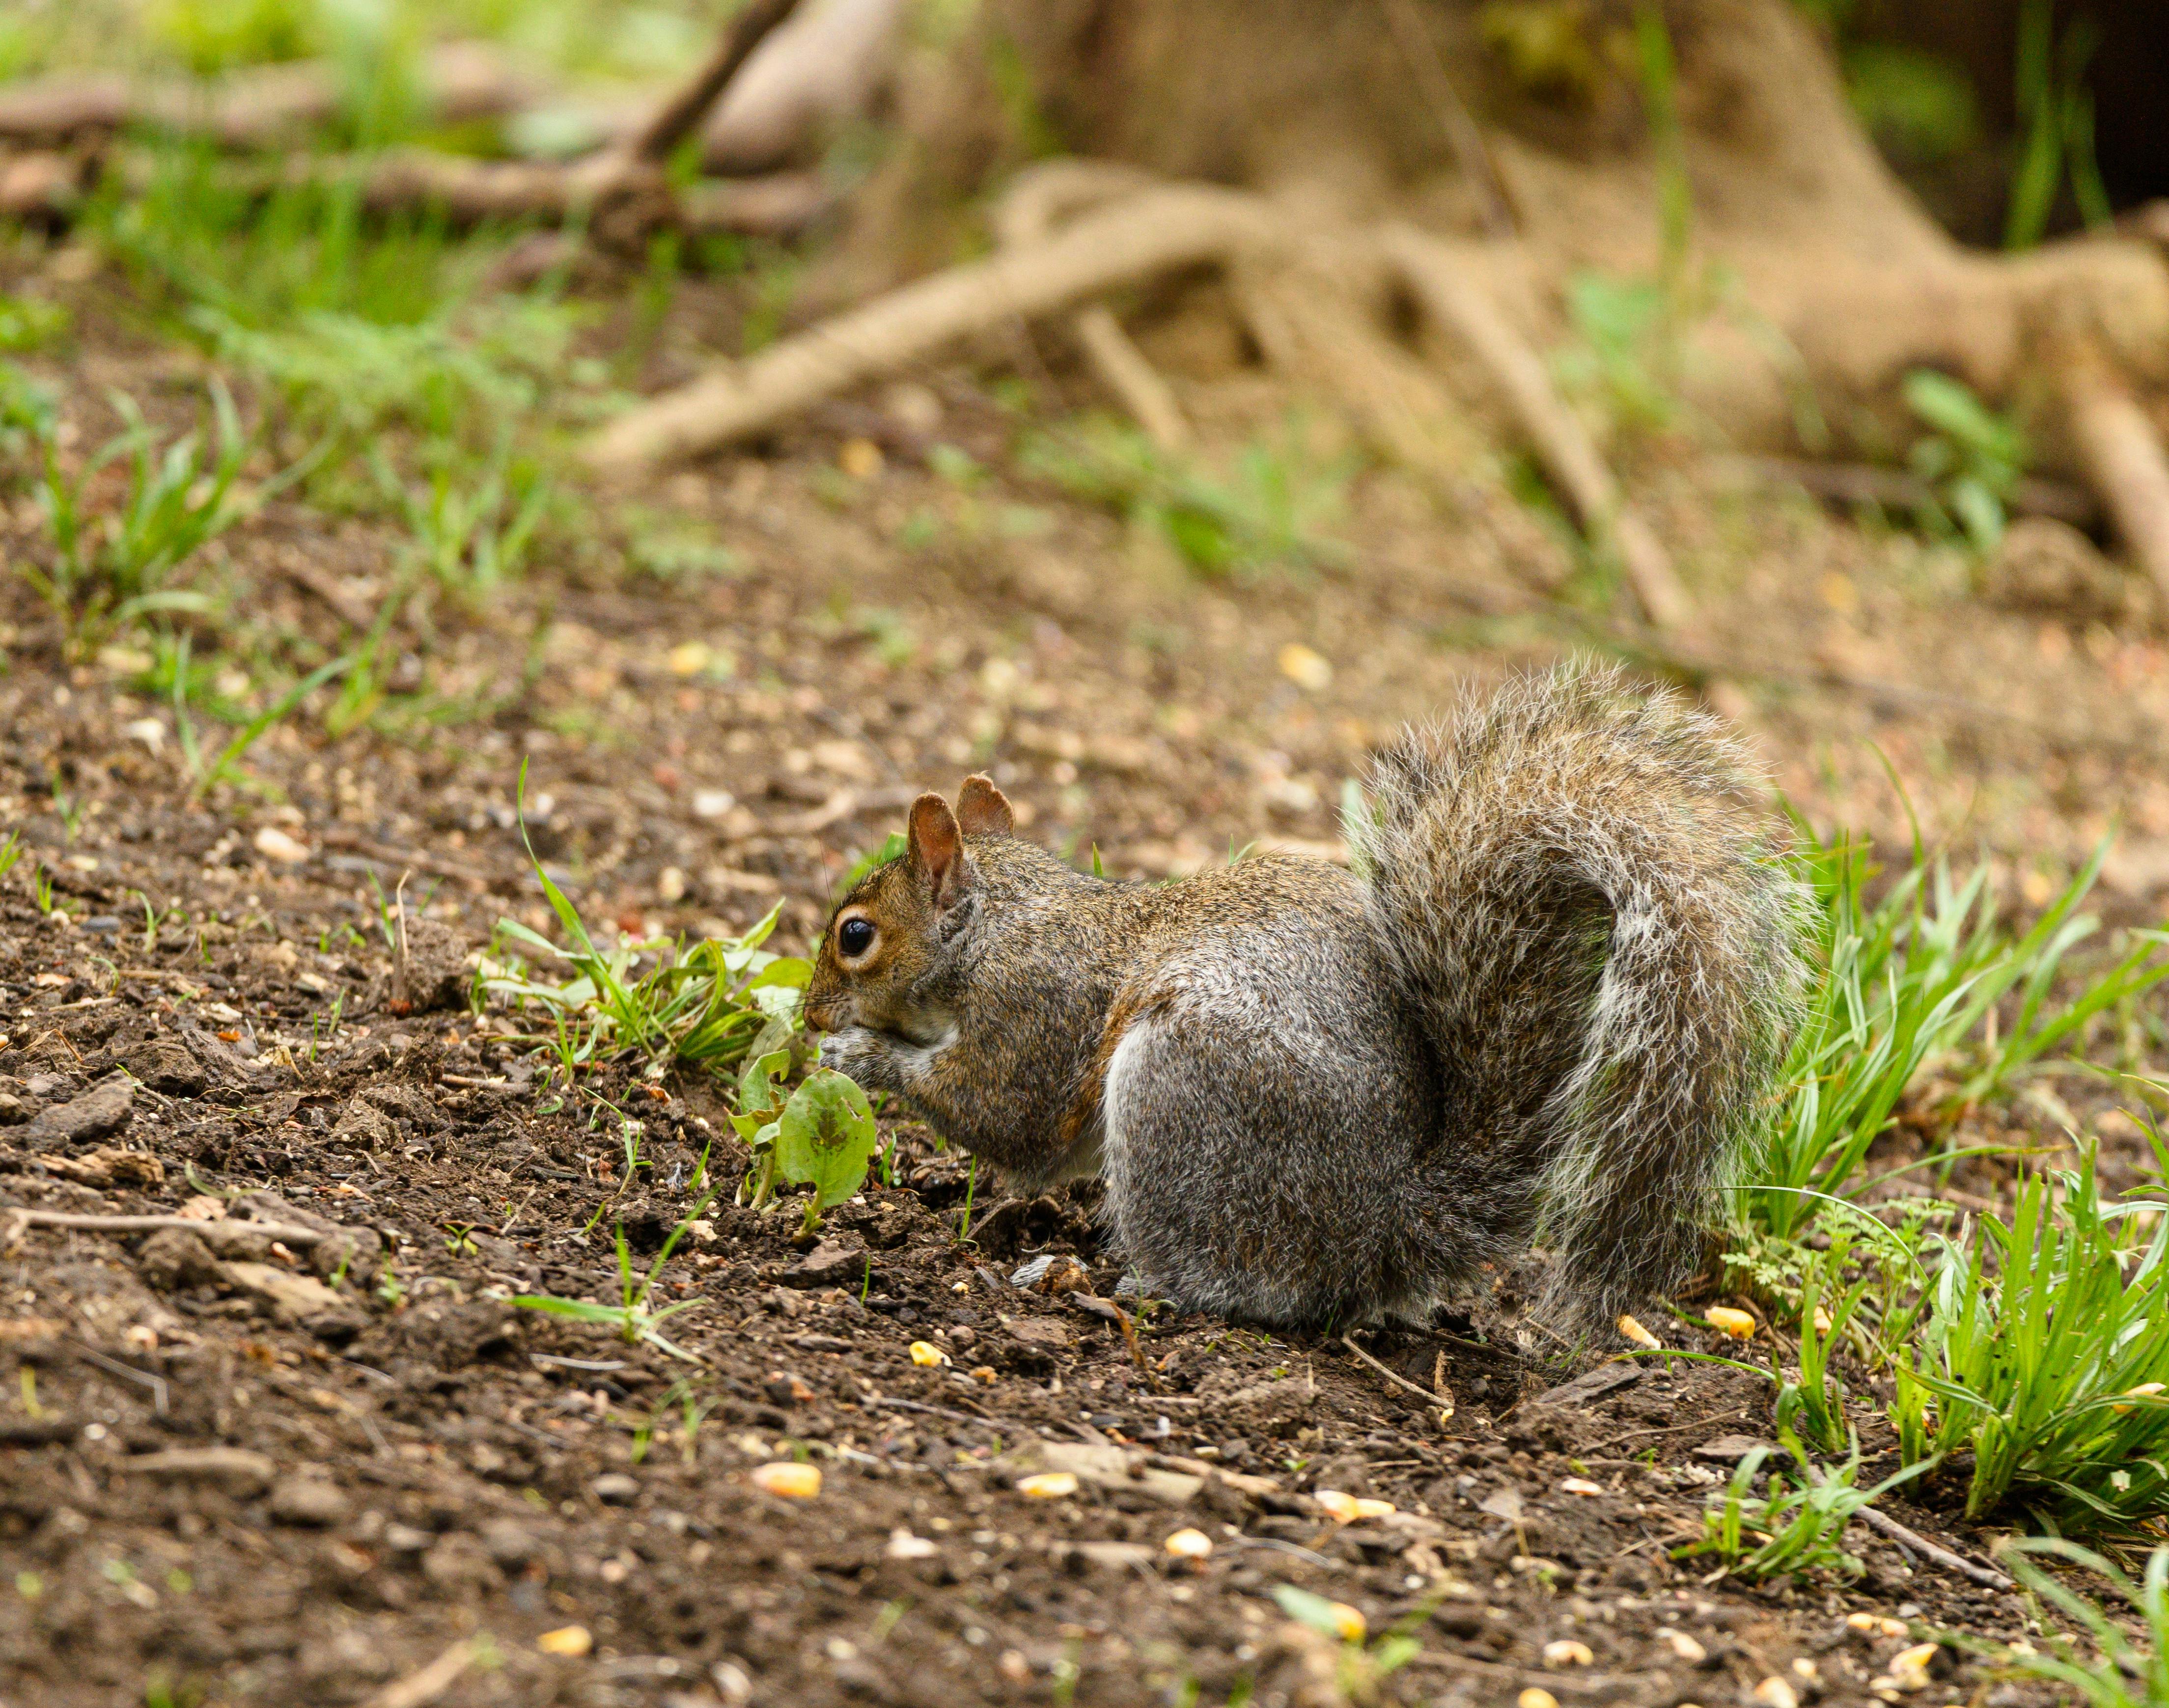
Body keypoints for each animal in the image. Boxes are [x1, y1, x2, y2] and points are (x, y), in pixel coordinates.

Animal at [804, 660, 1811, 1339]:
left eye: (855, 936)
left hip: (1183, 1089)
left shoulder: (1033, 1014)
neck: (999, 926)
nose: (811, 1010)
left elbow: (1003, 1116)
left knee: (1247, 1283)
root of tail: (1380, 1224)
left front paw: (853, 1055)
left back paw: (1123, 1279)